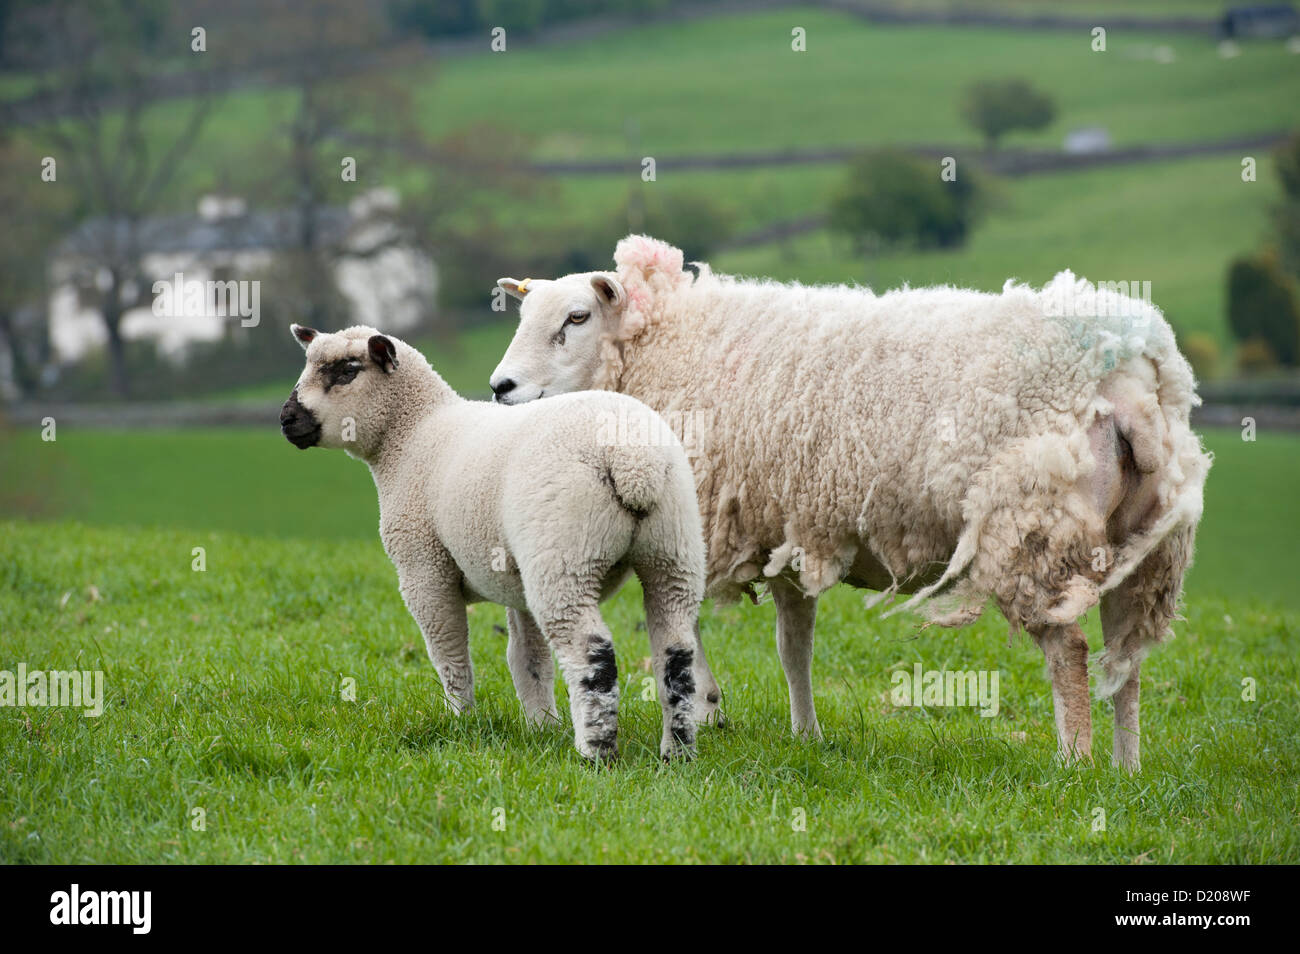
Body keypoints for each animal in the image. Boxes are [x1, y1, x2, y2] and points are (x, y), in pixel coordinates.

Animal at [279, 322, 720, 761]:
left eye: (346, 371)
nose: (286, 418)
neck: (412, 436)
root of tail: (632, 460)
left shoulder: (424, 568)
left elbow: (449, 652)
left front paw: (459, 718)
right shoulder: (517, 582)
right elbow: (528, 658)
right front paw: (542, 726)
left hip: (562, 557)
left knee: (590, 651)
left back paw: (596, 752)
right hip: (671, 548)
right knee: (676, 651)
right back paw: (677, 751)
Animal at [489, 235, 1211, 771]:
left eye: (576, 318)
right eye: (523, 318)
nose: (501, 387)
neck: (661, 344)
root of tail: (1128, 361)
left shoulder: (703, 521)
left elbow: (687, 626)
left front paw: (706, 705)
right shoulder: (788, 529)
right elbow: (794, 646)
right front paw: (803, 733)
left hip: (1034, 533)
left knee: (1073, 651)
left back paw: (1075, 761)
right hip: (1139, 547)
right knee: (1126, 658)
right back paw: (1125, 766)